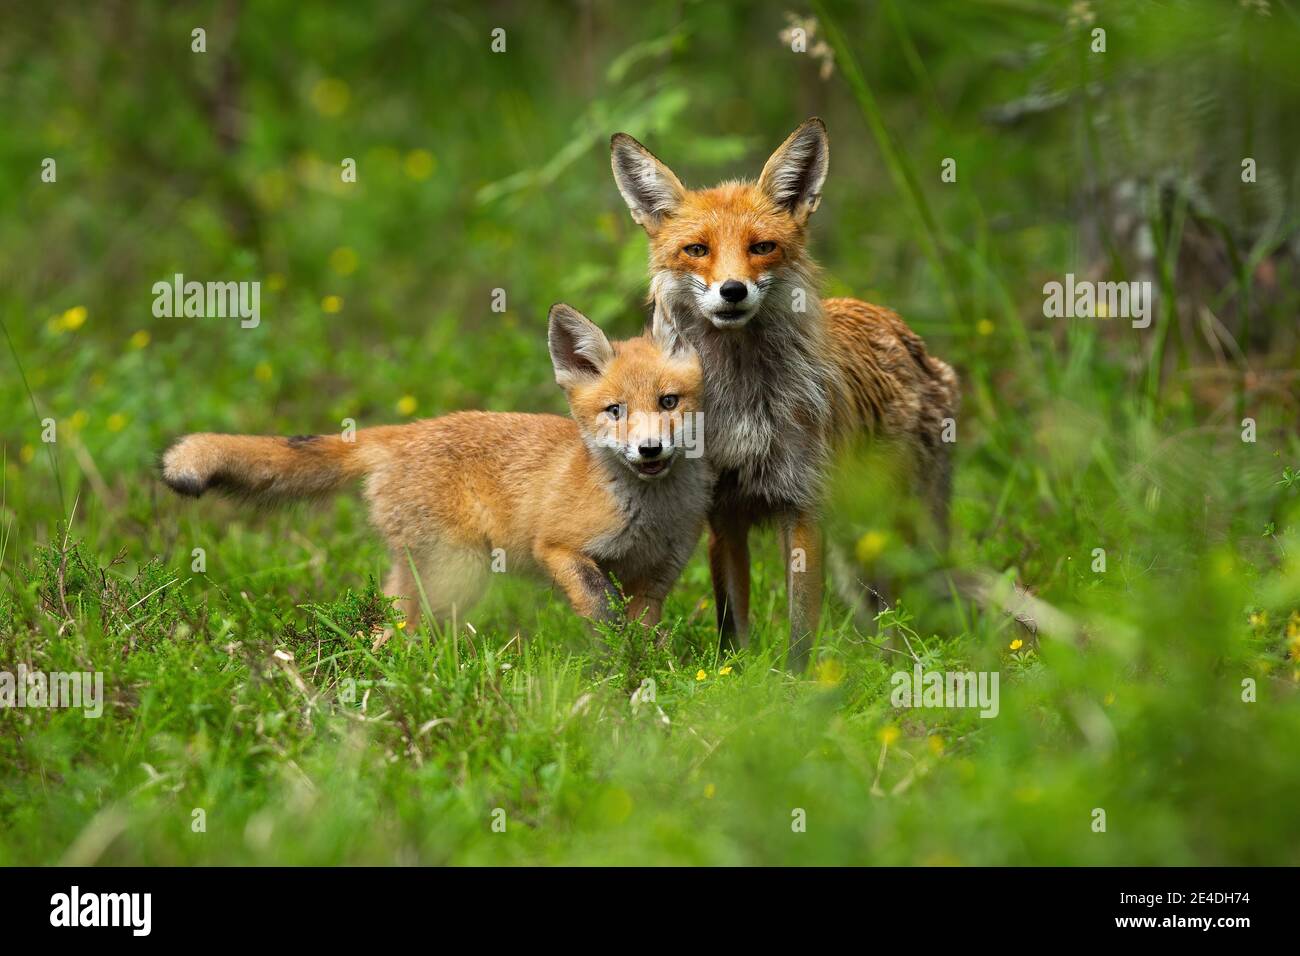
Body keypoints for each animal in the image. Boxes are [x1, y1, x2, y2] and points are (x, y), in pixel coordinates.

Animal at [159, 304, 712, 635]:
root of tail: (403, 432)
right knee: (396, 634)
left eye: (668, 402)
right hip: (457, 573)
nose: (649, 449)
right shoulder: (557, 547)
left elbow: (643, 637)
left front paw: (641, 681)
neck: (649, 516)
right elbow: (602, 610)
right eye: (615, 410)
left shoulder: (658, 577)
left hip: (425, 573)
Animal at [610, 117, 959, 672]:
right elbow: (732, 624)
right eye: (697, 250)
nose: (732, 290)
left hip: (904, 524)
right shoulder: (722, 515)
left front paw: (797, 686)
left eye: (762, 247)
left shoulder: (803, 506)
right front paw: (736, 677)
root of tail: (898, 326)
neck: (741, 408)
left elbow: (800, 629)